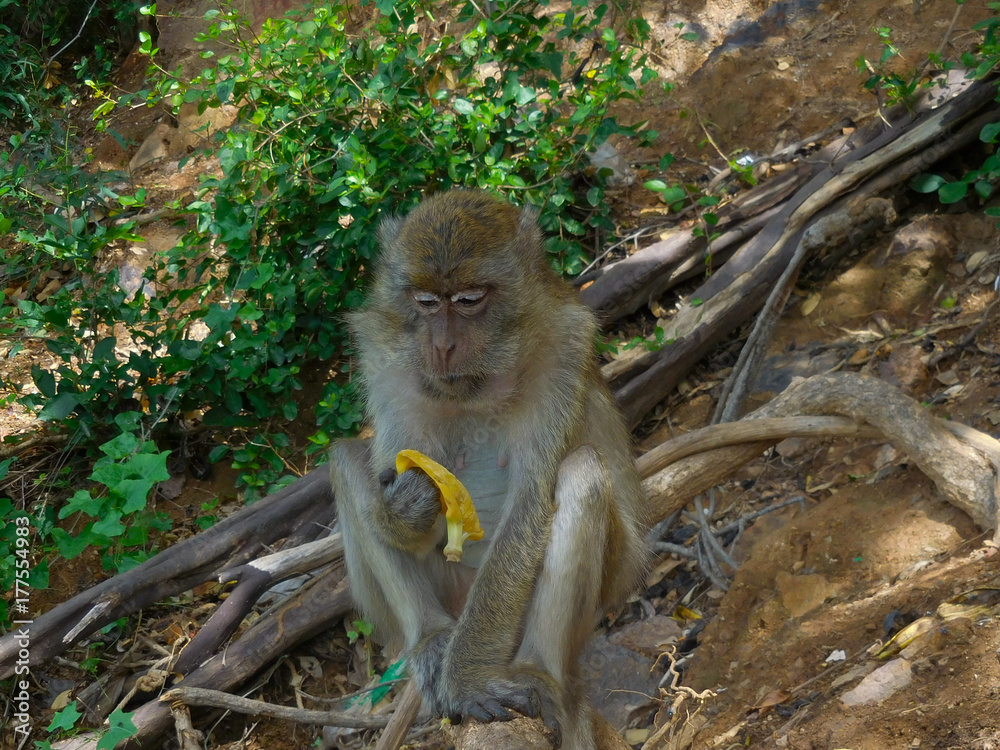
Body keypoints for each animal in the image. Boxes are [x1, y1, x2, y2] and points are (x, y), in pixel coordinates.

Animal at [330, 189, 647, 749]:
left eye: (470, 300)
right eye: (426, 302)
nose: (441, 346)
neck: (476, 385)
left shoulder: (562, 355)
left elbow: (530, 505)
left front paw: (468, 681)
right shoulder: (387, 361)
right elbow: (394, 495)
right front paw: (406, 507)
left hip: (607, 589)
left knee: (583, 472)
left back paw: (537, 672)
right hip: (445, 589)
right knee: (347, 461)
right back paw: (431, 639)